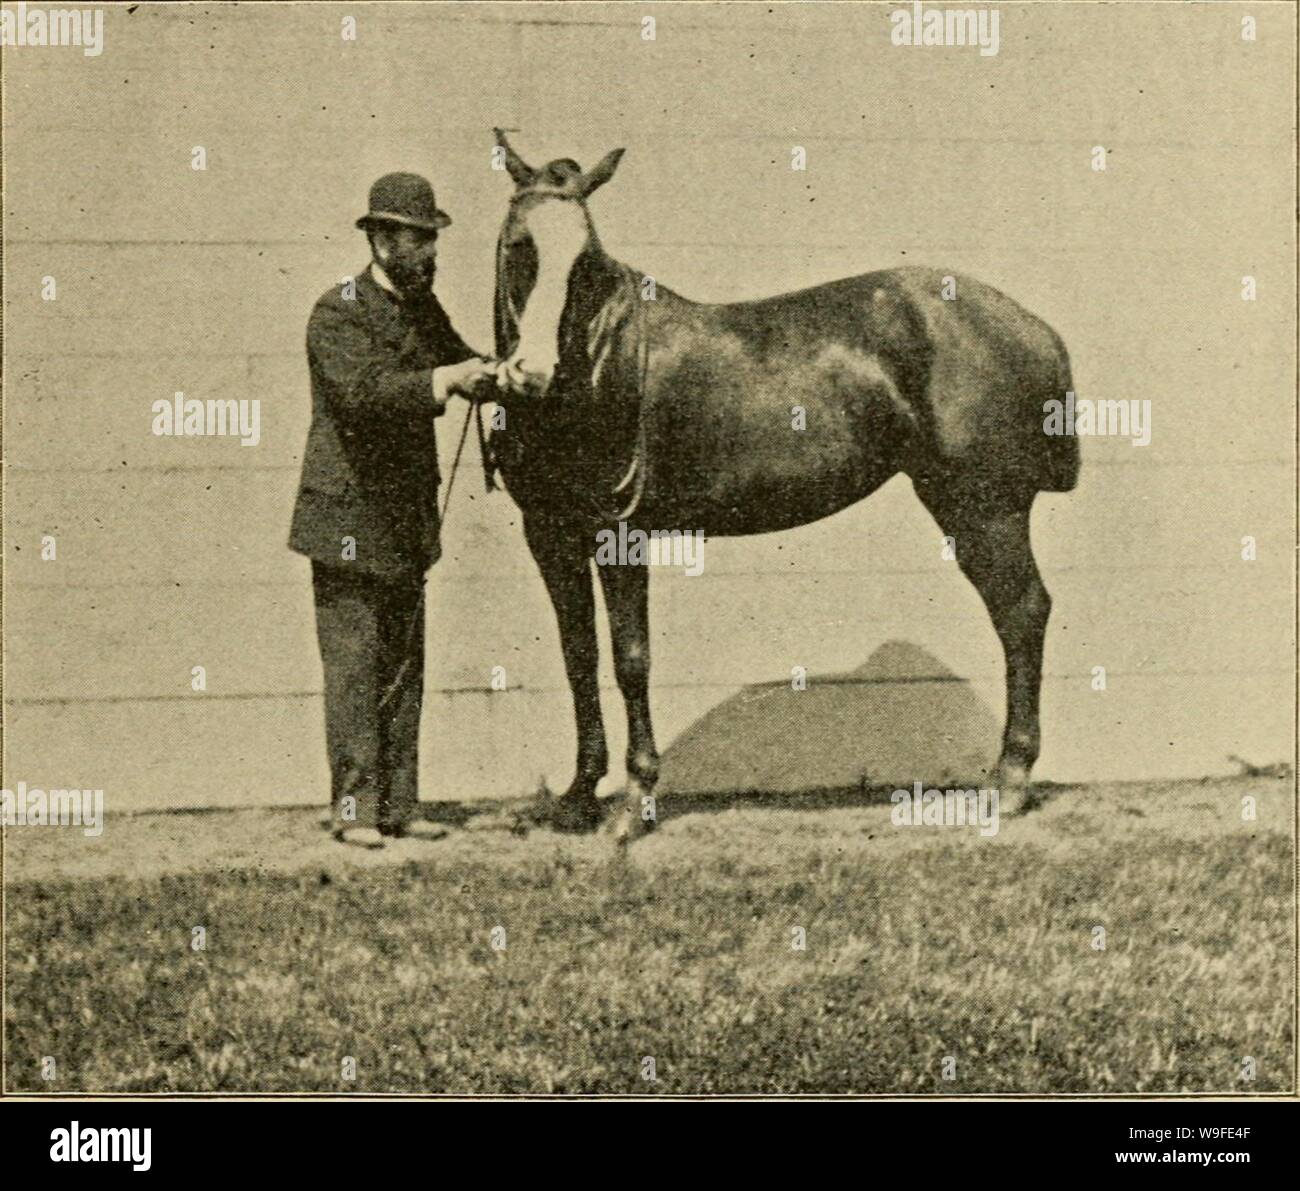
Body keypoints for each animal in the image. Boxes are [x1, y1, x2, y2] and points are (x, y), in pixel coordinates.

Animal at [487, 130, 1079, 841]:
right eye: (520, 247)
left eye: (584, 263)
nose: (531, 372)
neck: (598, 366)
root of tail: (1032, 325)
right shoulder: (550, 534)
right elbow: (579, 657)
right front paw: (578, 798)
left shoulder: (619, 532)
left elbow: (630, 658)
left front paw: (633, 804)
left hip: (984, 507)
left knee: (1021, 613)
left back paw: (1010, 782)